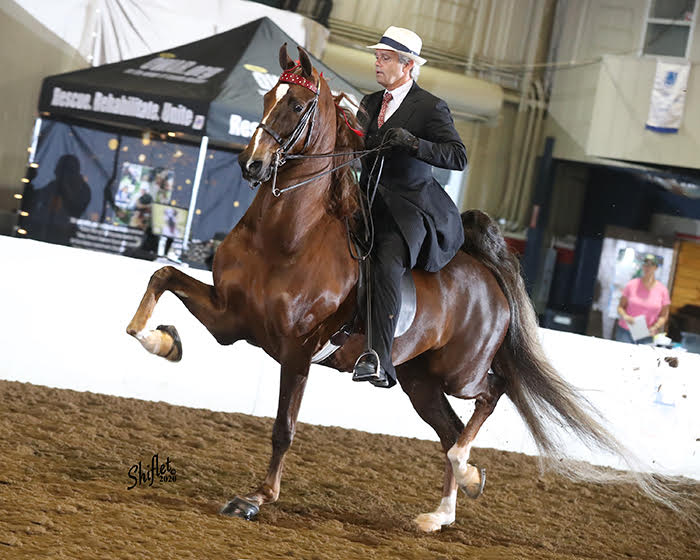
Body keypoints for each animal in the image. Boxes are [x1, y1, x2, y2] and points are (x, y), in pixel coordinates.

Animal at [126, 45, 672, 532]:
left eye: (298, 106)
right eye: (266, 96)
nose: (251, 164)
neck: (285, 236)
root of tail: (486, 272)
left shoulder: (297, 349)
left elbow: (284, 428)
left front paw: (257, 498)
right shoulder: (230, 318)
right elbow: (162, 277)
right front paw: (162, 340)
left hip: (459, 372)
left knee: (491, 394)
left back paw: (459, 478)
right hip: (418, 380)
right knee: (450, 429)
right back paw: (449, 501)